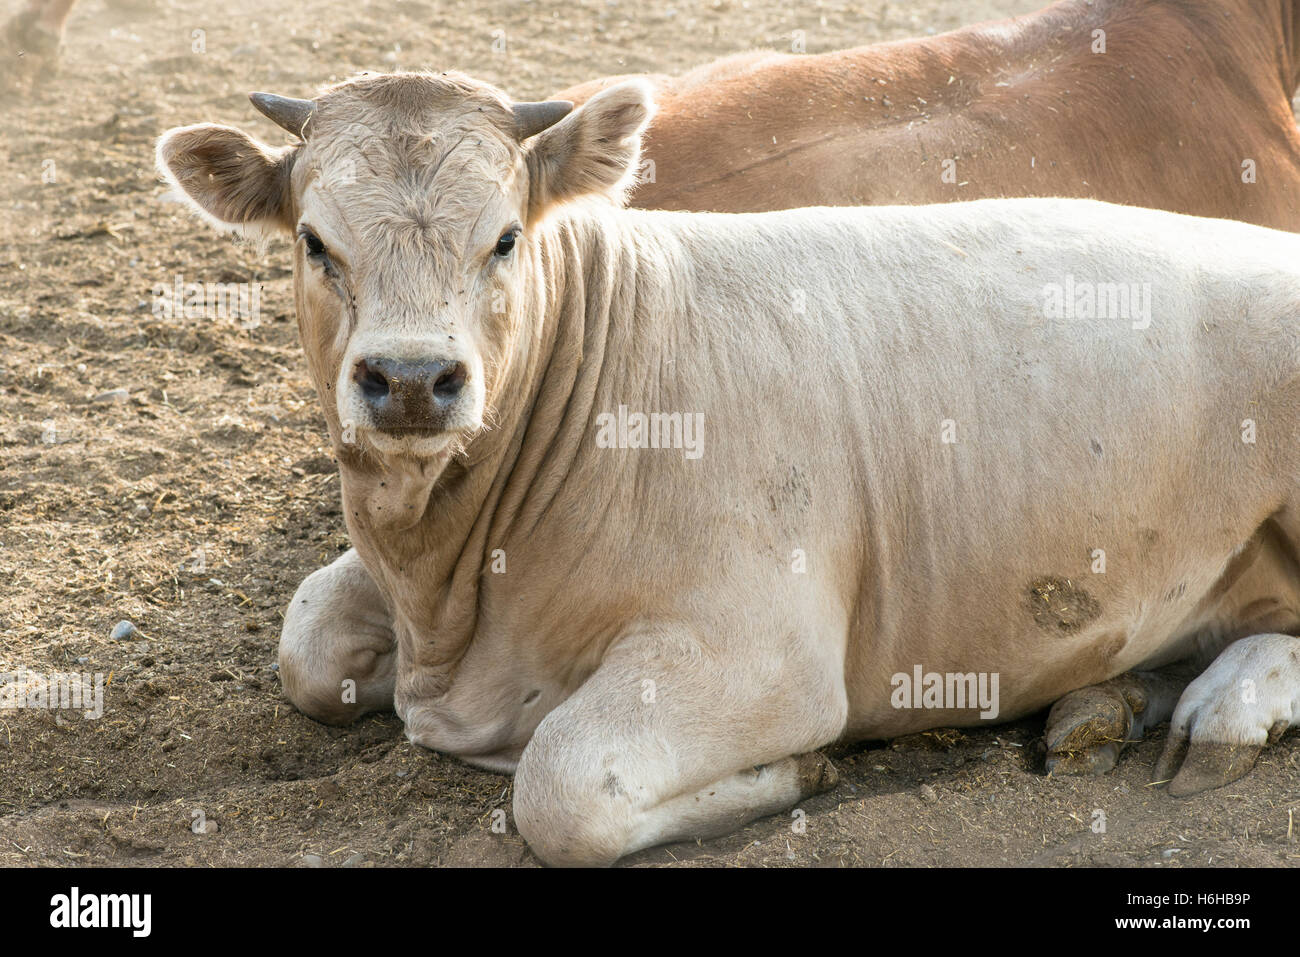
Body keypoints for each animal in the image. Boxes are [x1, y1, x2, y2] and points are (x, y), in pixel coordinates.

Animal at [157, 71, 1300, 866]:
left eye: (506, 239)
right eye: (314, 241)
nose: (407, 381)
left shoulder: (763, 652)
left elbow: (562, 786)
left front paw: (796, 769)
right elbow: (307, 641)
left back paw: (1225, 711)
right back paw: (1105, 704)